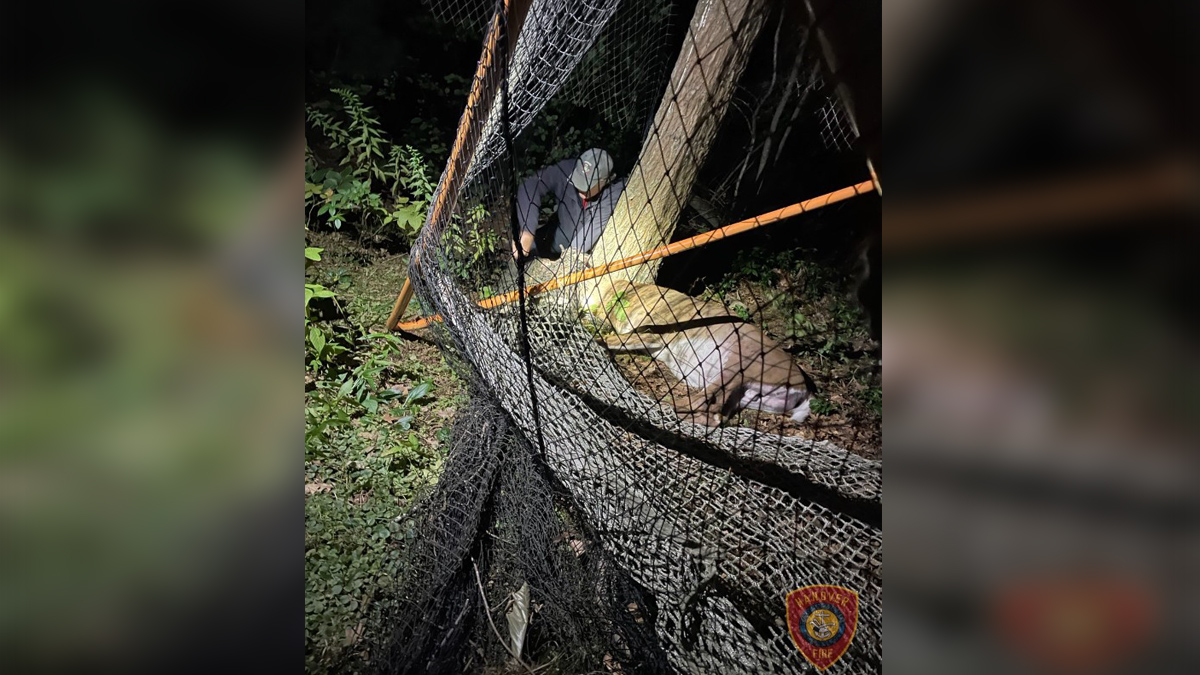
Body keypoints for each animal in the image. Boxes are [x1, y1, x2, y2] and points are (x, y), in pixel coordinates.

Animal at [597, 280, 812, 427]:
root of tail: (804, 390)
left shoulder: (653, 333)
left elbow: (606, 339)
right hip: (747, 395)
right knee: (718, 412)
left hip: (740, 363)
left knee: (701, 404)